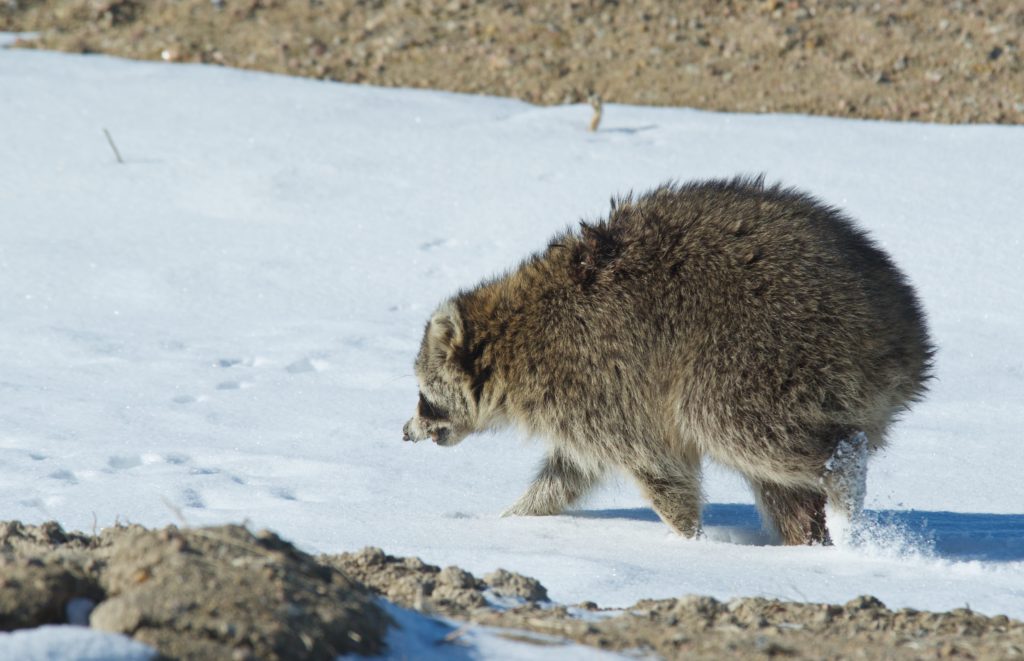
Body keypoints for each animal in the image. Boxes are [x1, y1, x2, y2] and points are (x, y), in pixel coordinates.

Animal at [402, 177, 933, 545]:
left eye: (424, 396)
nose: (405, 433)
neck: (511, 337)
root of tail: (907, 334)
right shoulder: (582, 407)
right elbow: (569, 473)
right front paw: (513, 518)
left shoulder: (596, 378)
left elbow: (660, 466)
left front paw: (689, 538)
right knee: (780, 485)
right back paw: (808, 537)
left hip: (766, 351)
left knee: (733, 425)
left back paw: (843, 476)